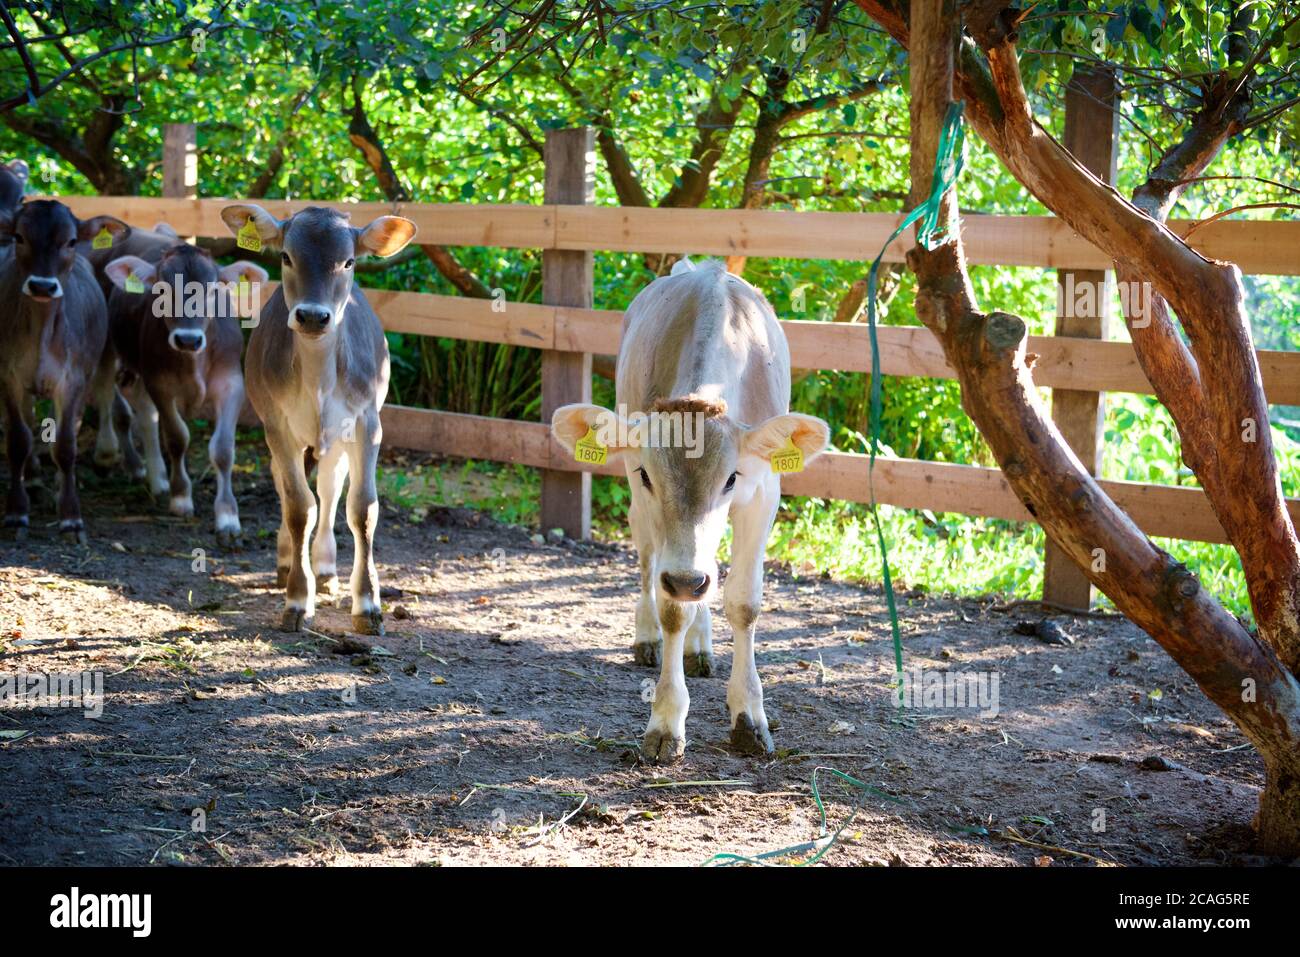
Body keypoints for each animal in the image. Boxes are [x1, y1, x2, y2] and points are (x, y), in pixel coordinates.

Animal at [0, 201, 129, 542]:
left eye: (70, 241)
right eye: (19, 236)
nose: (42, 285)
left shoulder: (72, 381)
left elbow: (66, 445)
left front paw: (71, 517)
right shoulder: (8, 377)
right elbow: (17, 440)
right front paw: (16, 512)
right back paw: (32, 479)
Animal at [98, 229, 267, 545]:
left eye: (213, 291)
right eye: (162, 290)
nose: (188, 339)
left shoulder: (231, 383)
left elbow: (223, 449)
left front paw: (228, 517)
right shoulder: (160, 383)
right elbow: (177, 437)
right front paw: (180, 498)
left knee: (144, 414)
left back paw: (157, 478)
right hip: (110, 349)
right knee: (120, 406)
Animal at [219, 203, 416, 634]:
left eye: (349, 261)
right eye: (285, 256)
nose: (312, 316)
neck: (318, 378)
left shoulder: (366, 421)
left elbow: (362, 509)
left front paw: (368, 604)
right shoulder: (276, 423)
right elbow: (297, 506)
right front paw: (296, 599)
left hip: (337, 437)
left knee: (329, 487)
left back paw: (325, 568)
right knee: (287, 486)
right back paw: (288, 561)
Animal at [551, 259, 830, 763]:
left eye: (731, 478)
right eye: (648, 474)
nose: (685, 580)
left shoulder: (763, 493)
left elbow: (743, 602)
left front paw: (748, 717)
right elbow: (671, 610)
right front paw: (665, 722)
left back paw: (700, 645)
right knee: (649, 562)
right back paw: (650, 638)